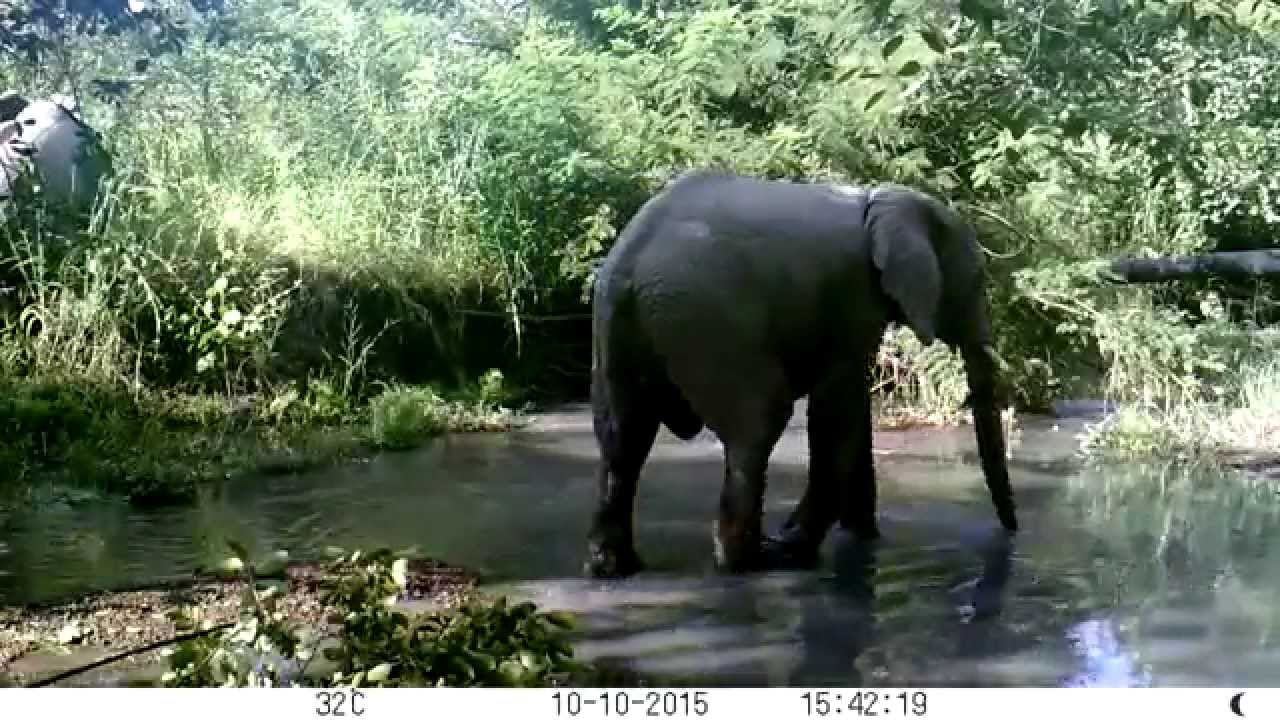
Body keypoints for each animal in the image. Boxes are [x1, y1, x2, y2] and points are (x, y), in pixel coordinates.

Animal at [585, 171, 1018, 578]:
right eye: (977, 282)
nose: (1010, 531)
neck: (886, 200)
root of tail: (631, 260)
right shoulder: (853, 295)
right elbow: (838, 407)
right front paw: (795, 545)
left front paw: (863, 538)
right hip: (710, 320)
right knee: (758, 424)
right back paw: (751, 562)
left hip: (620, 329)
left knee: (622, 437)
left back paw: (615, 568)